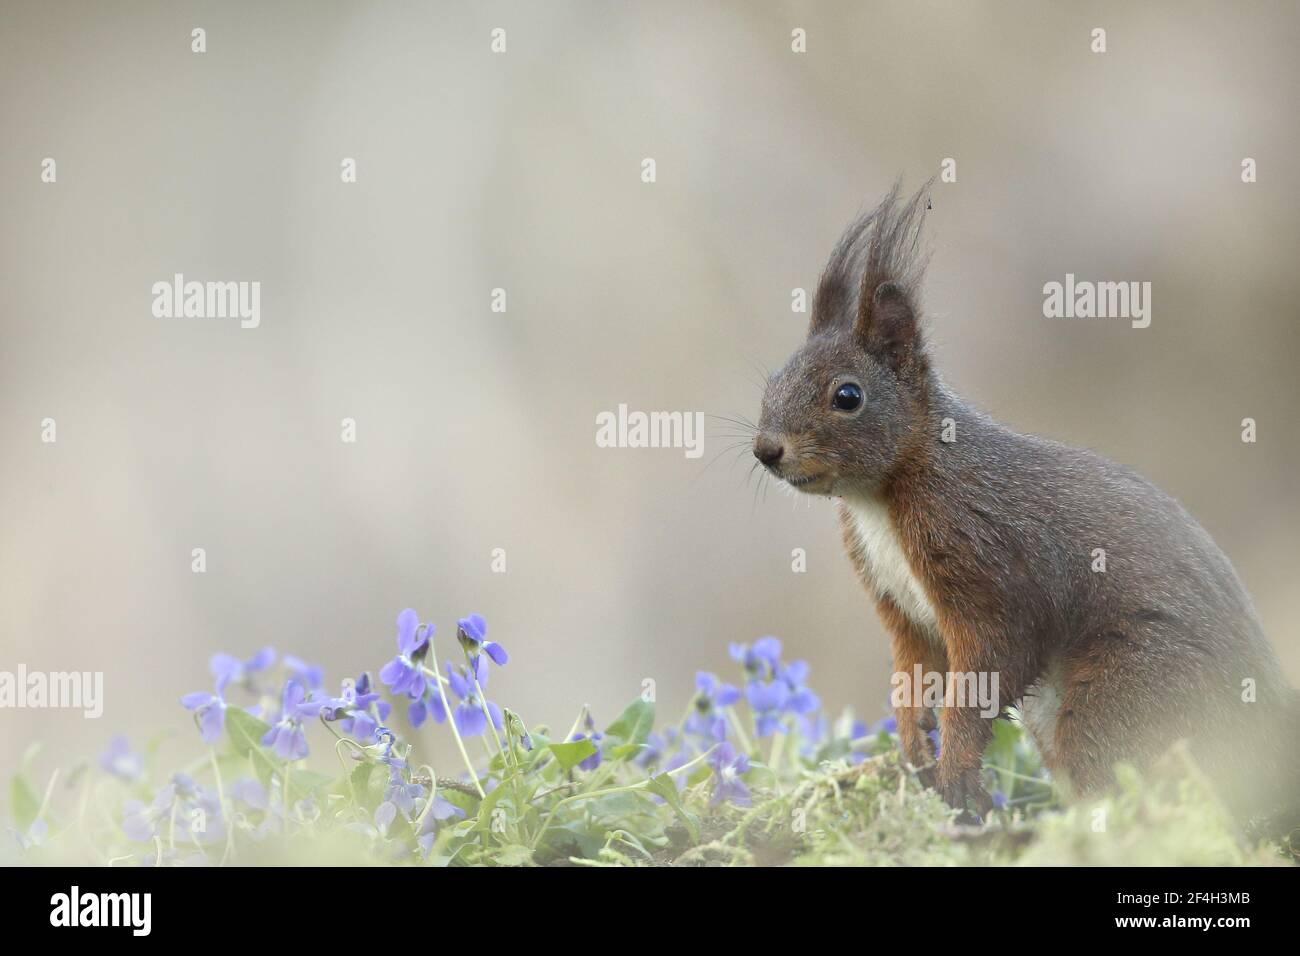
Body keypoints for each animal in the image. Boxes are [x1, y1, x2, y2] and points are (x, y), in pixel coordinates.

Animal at [754, 181, 1298, 826]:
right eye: (771, 383)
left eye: (847, 396)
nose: (766, 450)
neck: (881, 498)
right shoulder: (903, 610)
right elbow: (912, 674)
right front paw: (914, 753)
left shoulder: (989, 567)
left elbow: (990, 667)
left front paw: (955, 773)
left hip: (1130, 690)